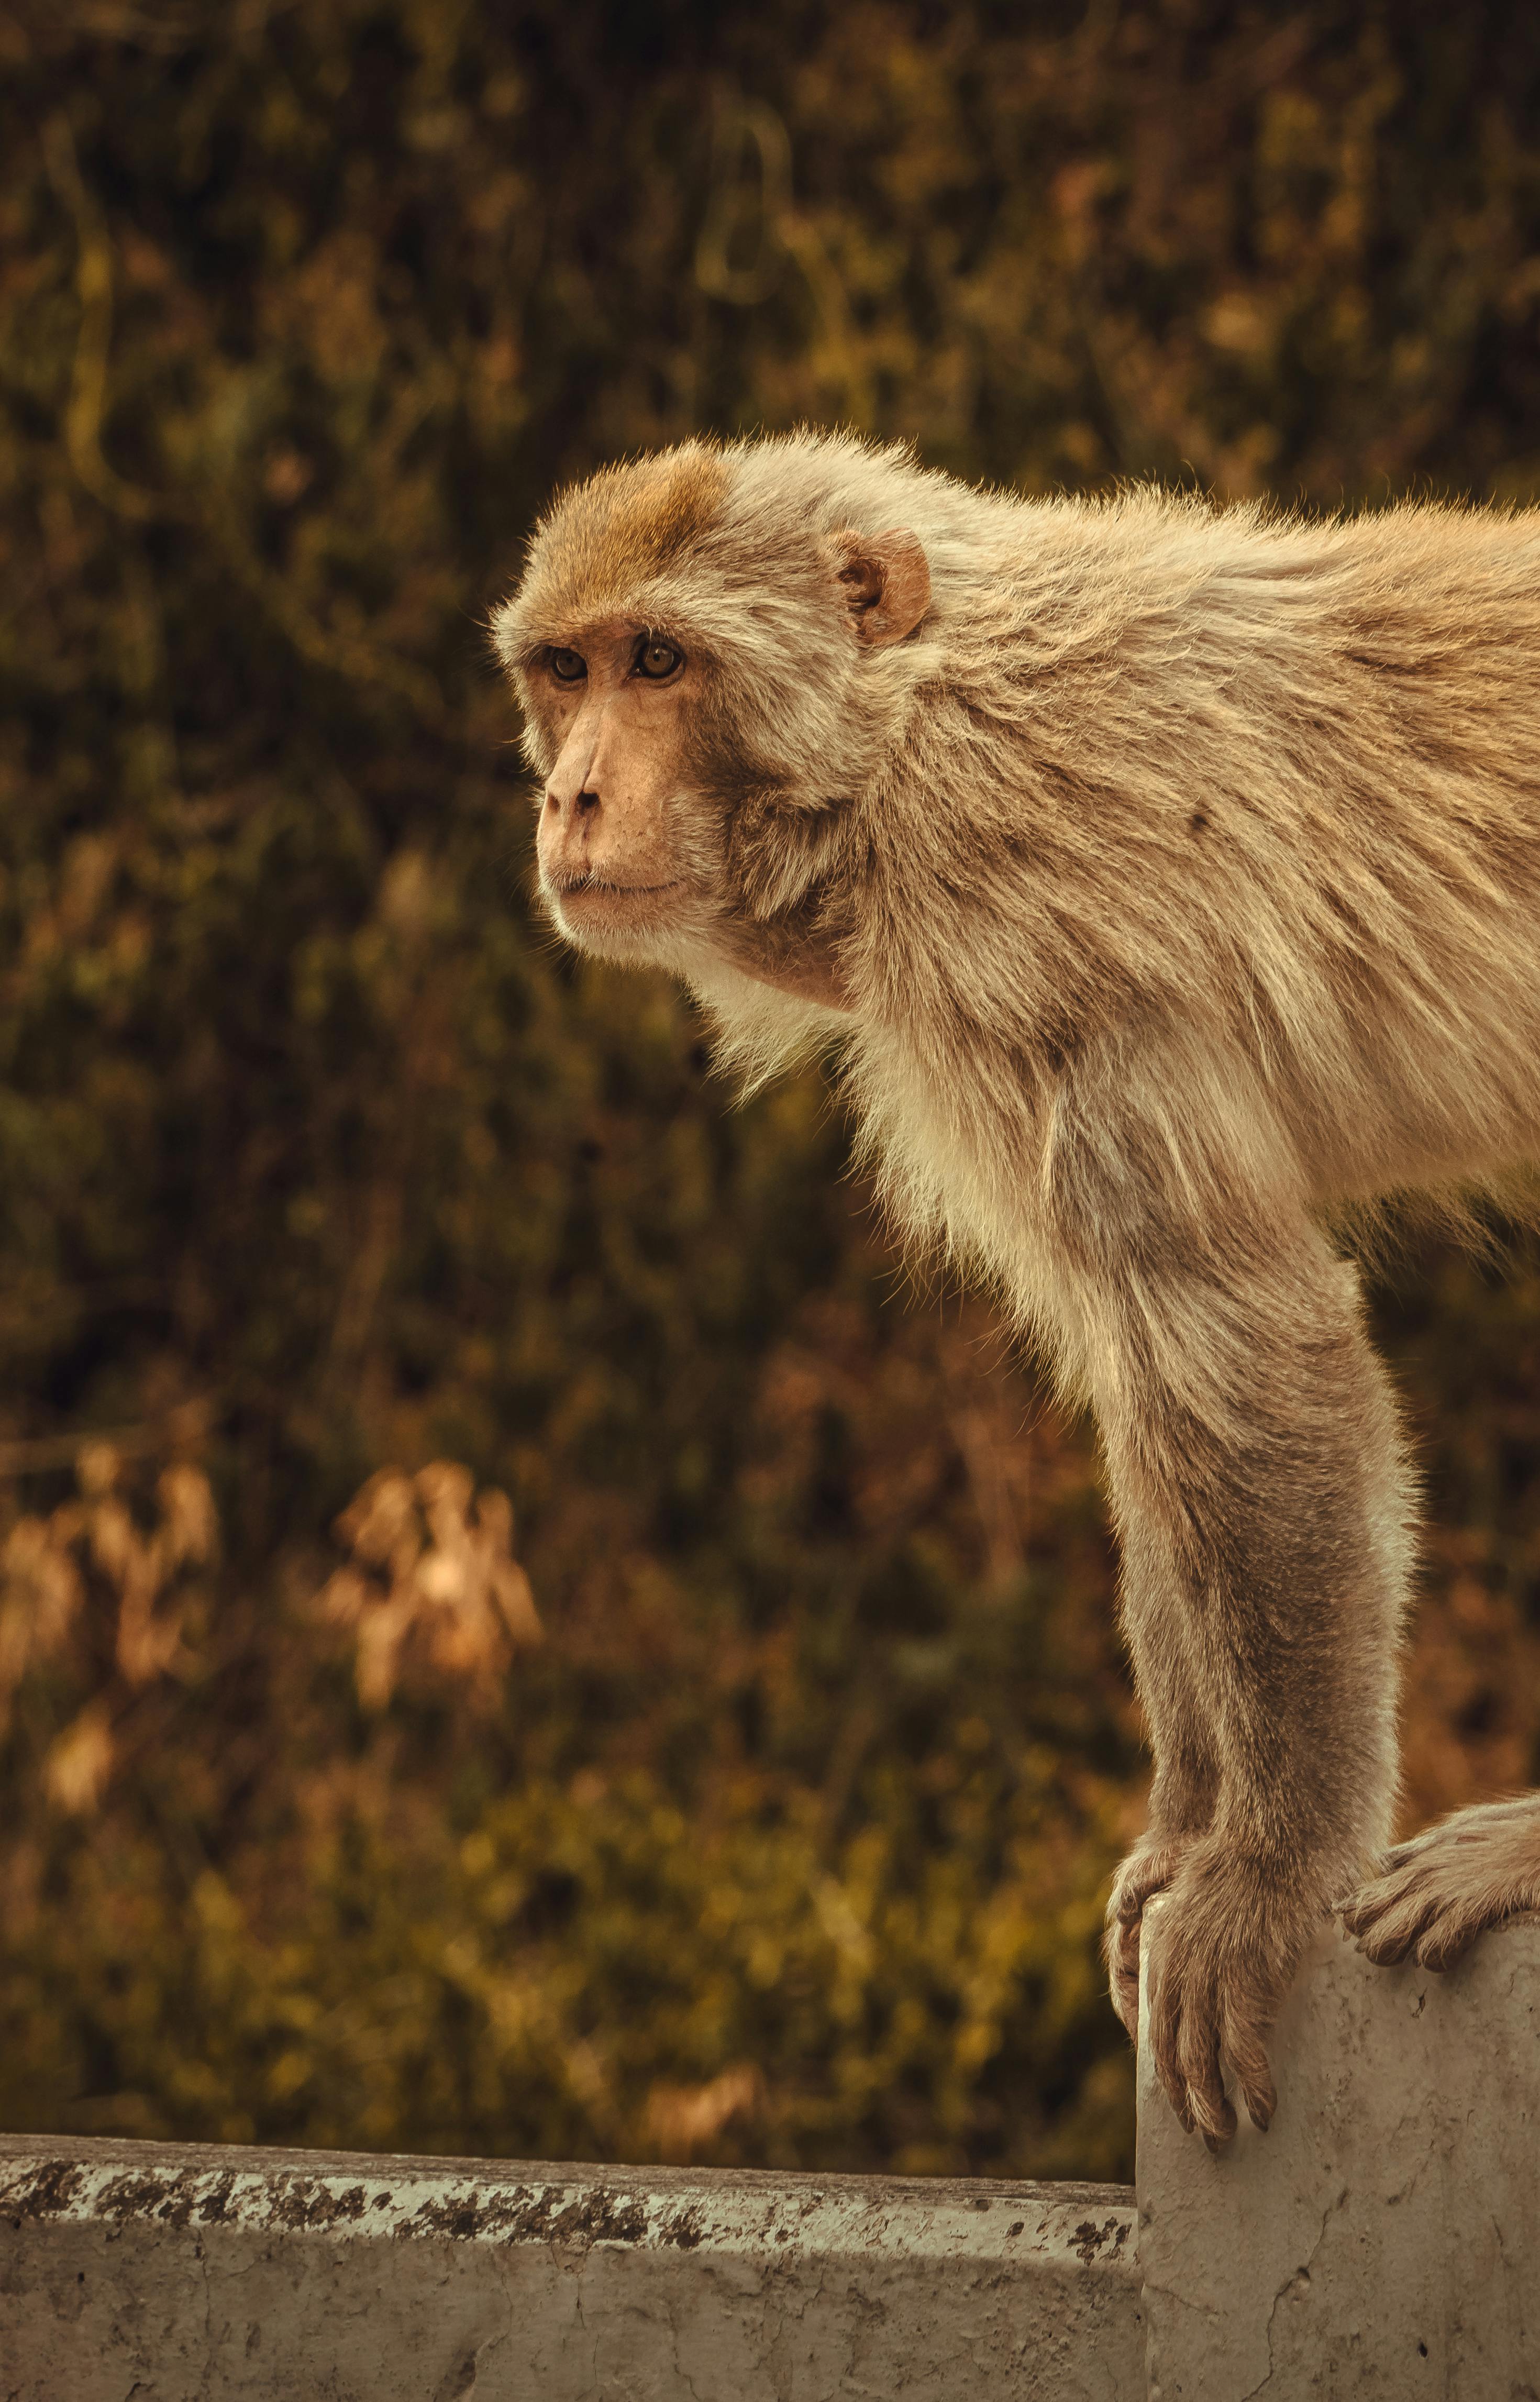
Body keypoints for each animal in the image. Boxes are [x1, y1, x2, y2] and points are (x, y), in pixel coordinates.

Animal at [491, 430, 1540, 2148]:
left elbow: (1229, 1327)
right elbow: (1139, 1367)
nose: (569, 791)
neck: (892, 746)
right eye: (564, 671)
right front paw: (1185, 1834)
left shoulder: (1040, 921)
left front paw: (1264, 1872)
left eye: (658, 662)